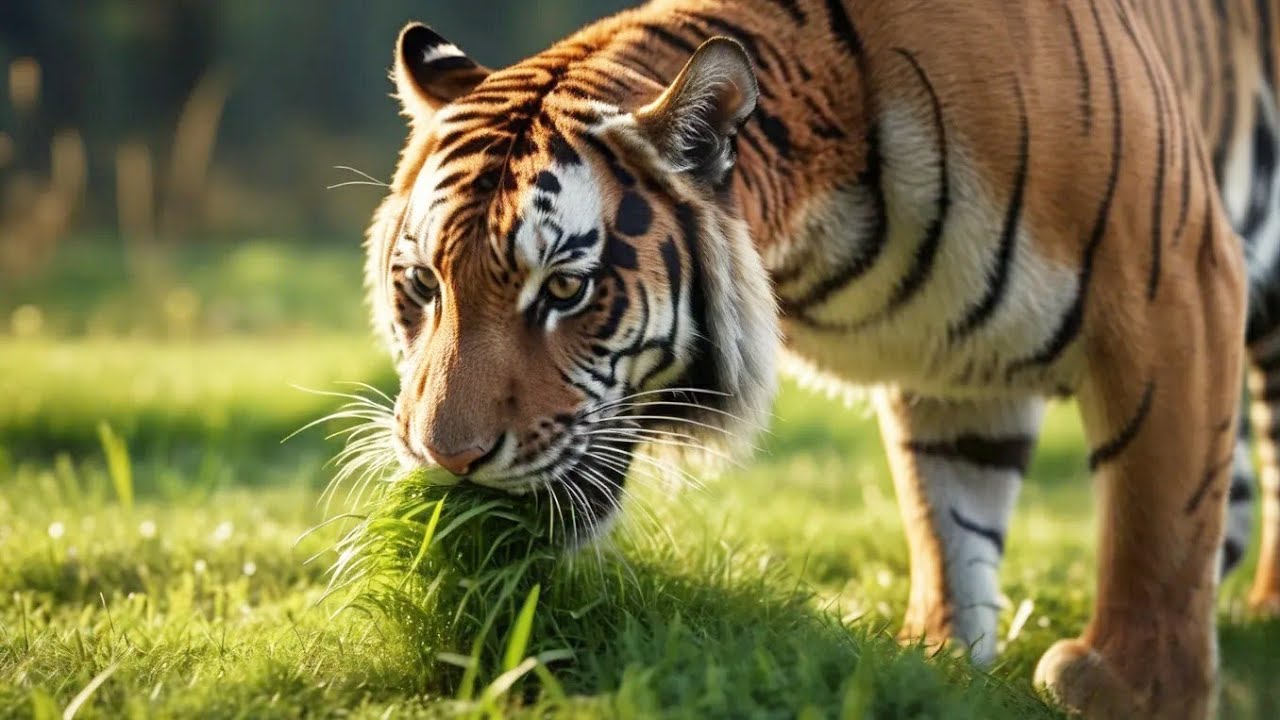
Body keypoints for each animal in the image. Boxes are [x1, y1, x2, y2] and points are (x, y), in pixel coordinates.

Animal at [363, 1, 1280, 717]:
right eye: (423, 284)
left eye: (563, 288)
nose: (448, 459)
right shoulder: (955, 362)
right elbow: (949, 522)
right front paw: (940, 659)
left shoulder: (1176, 279)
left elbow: (1158, 516)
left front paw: (1135, 689)